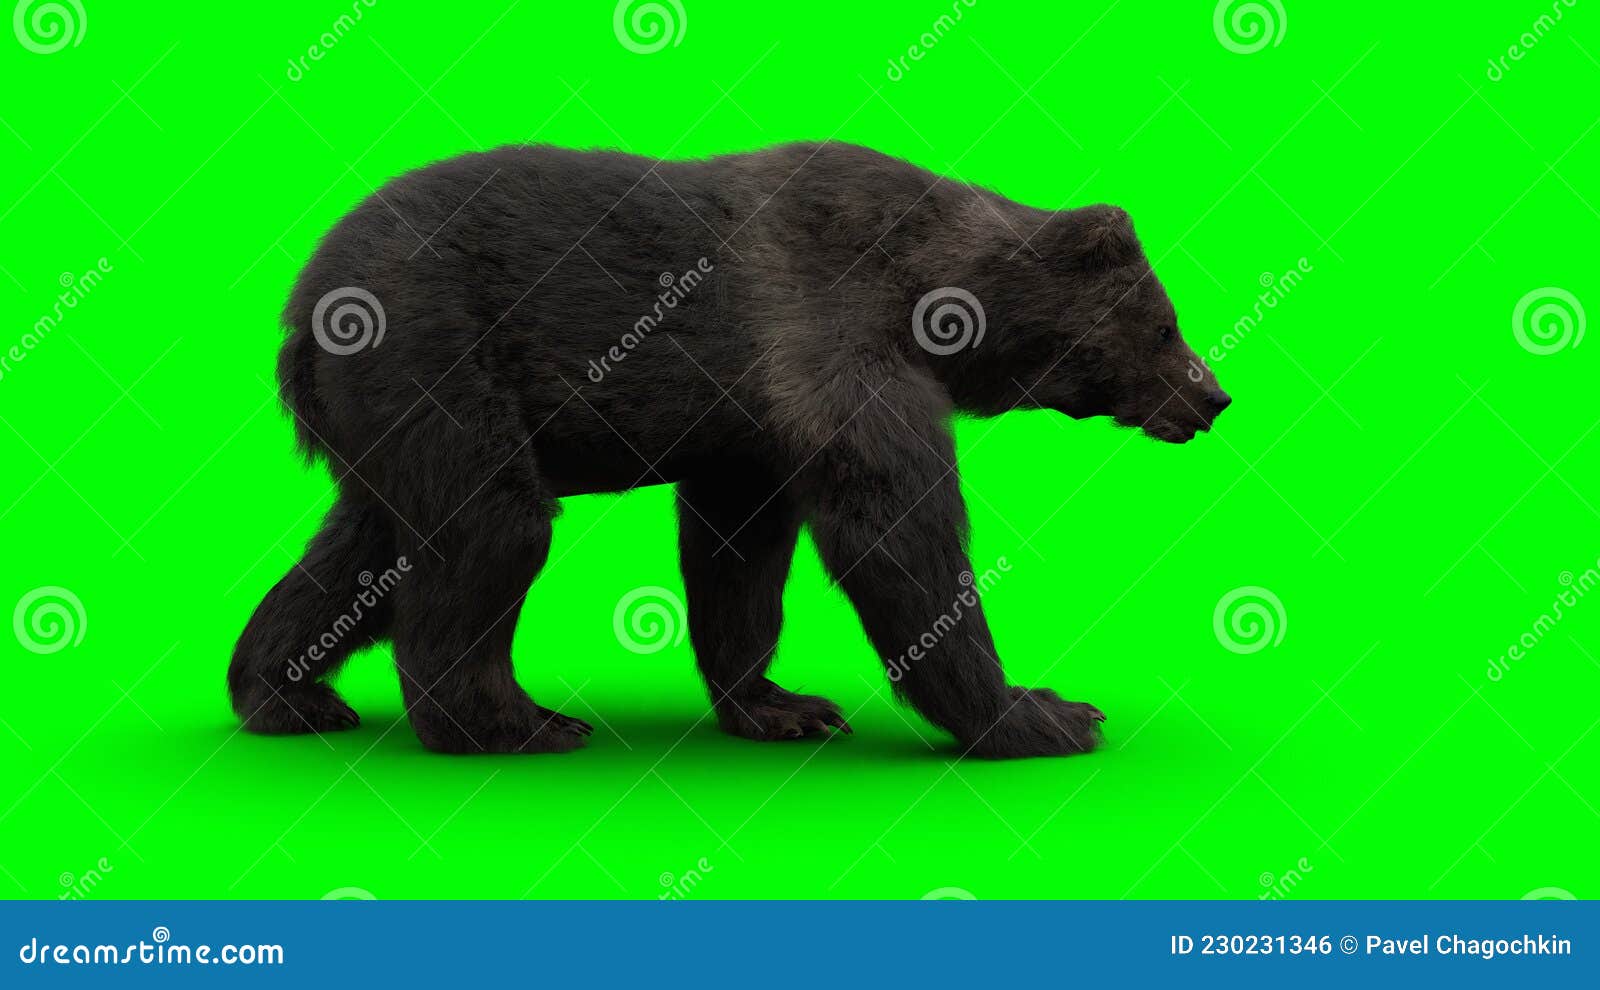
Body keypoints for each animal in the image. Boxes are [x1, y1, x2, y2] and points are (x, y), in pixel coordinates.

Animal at [228, 141, 1230, 758]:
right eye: (1167, 324)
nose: (1213, 397)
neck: (938, 299)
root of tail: (300, 304)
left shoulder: (749, 429)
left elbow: (738, 558)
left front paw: (785, 705)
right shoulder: (832, 342)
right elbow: (897, 534)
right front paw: (1045, 712)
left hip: (389, 412)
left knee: (367, 546)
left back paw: (288, 696)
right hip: (436, 354)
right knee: (489, 531)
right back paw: (517, 721)